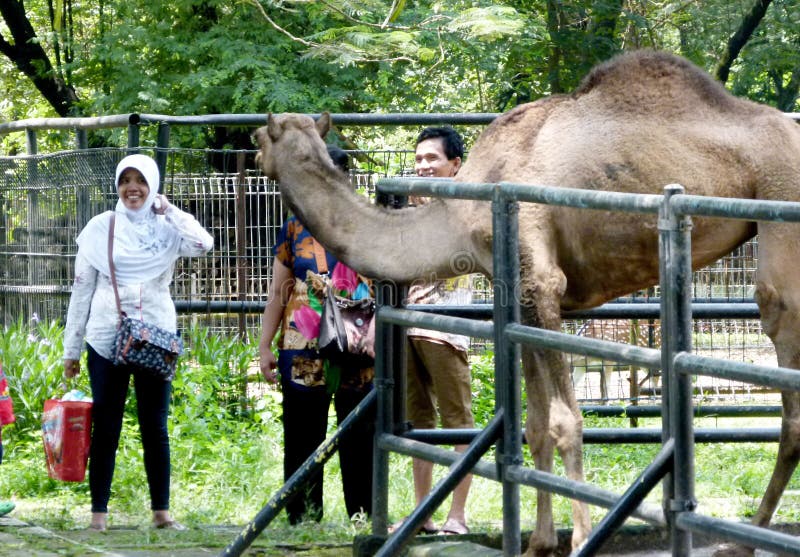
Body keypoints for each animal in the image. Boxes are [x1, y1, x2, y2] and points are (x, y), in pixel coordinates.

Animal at [254, 50, 800, 557]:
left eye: (261, 137)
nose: (252, 150)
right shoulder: (517, 296)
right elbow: (535, 425)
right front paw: (538, 542)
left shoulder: (540, 280)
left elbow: (565, 420)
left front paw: (581, 538)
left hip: (780, 203)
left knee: (781, 333)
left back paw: (749, 539)